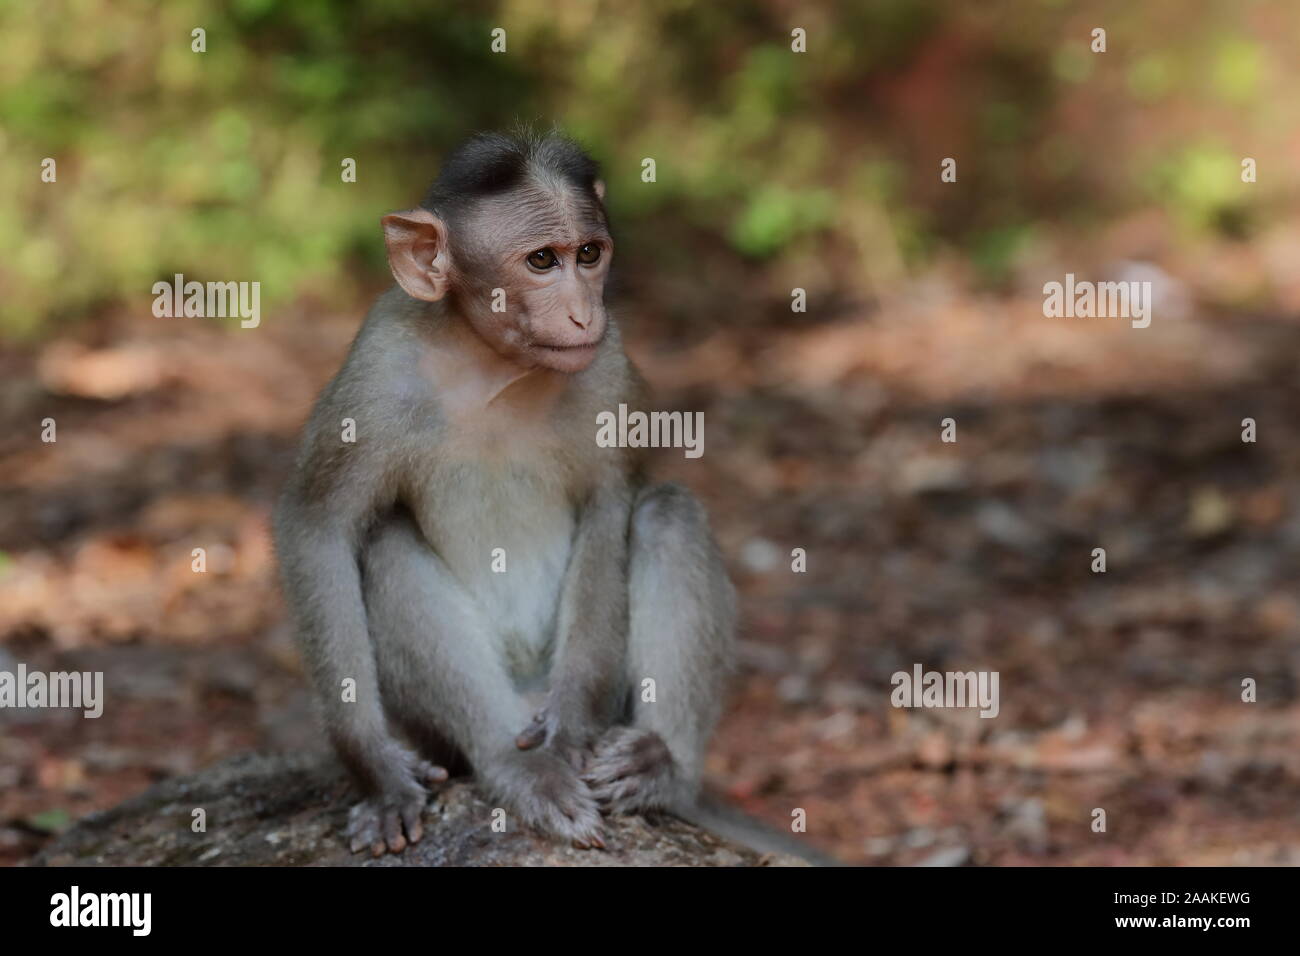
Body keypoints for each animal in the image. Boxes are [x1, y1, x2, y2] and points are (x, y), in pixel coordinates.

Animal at [273, 129, 736, 855]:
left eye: (588, 254)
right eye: (542, 260)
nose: (583, 311)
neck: (492, 366)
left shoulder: (609, 370)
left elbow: (611, 504)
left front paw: (573, 724)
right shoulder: (376, 377)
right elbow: (319, 528)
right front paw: (375, 768)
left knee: (667, 513)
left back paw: (659, 766)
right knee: (382, 544)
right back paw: (516, 767)